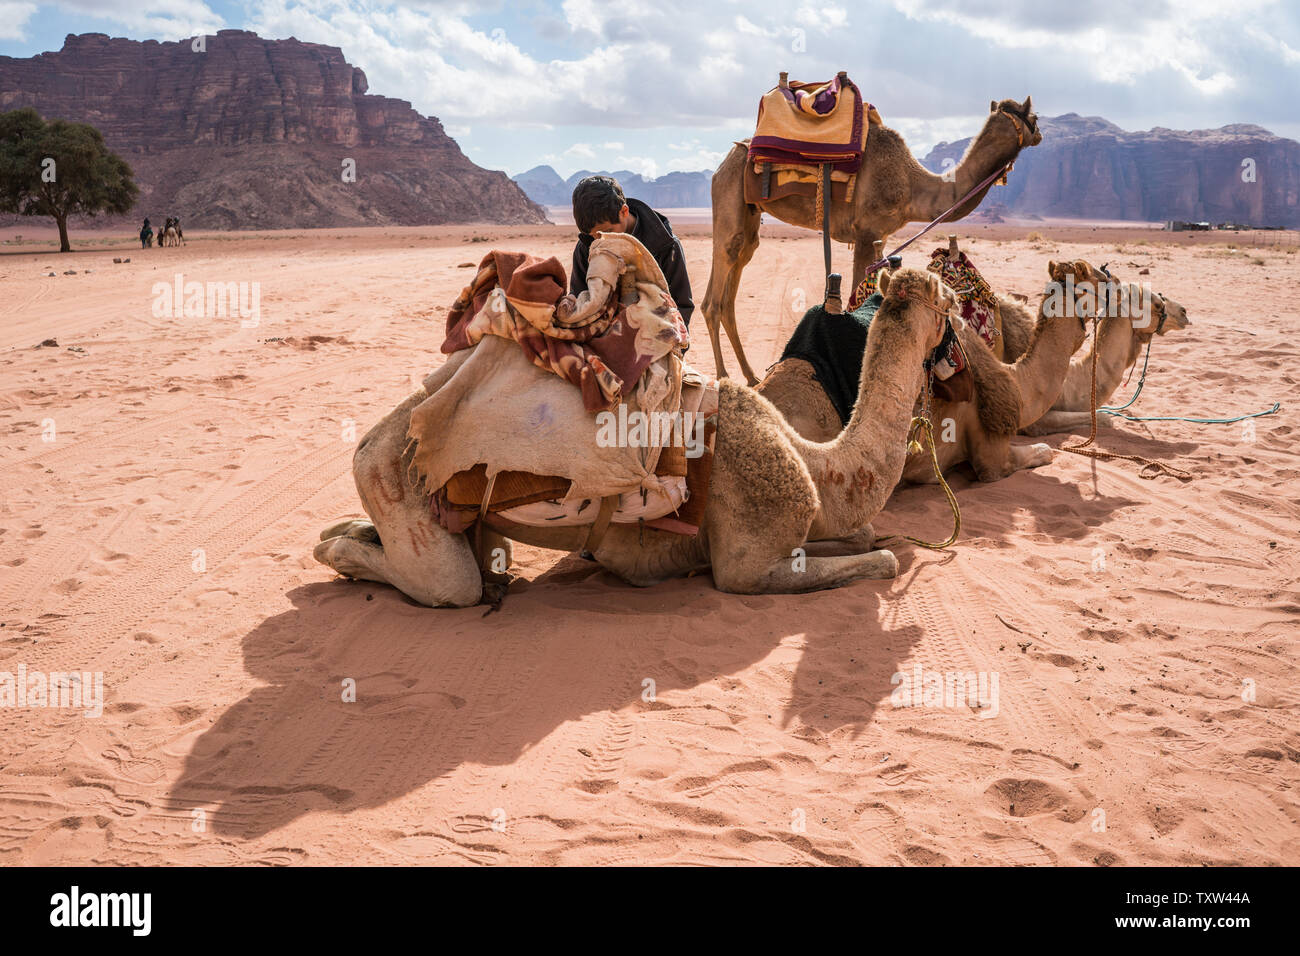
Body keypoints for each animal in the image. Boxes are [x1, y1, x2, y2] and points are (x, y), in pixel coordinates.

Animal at [313, 268, 955, 607]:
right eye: (950, 304)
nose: (957, 356)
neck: (818, 468)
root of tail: (370, 441)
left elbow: (864, 536)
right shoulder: (748, 565)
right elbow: (881, 561)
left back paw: (340, 533)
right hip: (393, 477)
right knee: (454, 586)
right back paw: (337, 554)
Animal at [703, 96, 1042, 384]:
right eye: (1033, 116)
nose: (1040, 134)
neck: (913, 186)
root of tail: (726, 160)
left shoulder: (878, 236)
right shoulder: (867, 233)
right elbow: (855, 292)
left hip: (749, 216)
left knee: (733, 280)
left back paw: (750, 376)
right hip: (730, 195)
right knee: (716, 293)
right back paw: (722, 375)